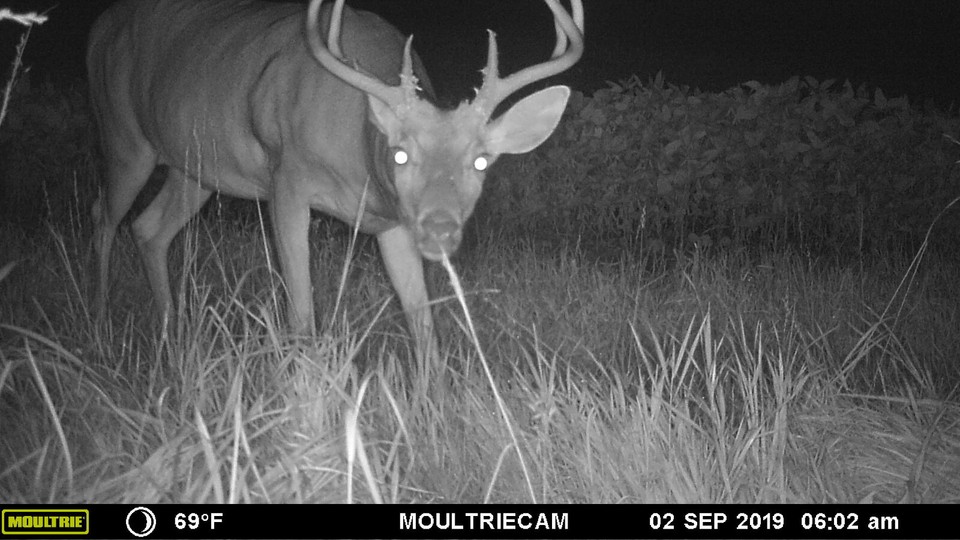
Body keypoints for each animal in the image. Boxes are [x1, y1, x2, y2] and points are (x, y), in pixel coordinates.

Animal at [87, 0, 583, 362]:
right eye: (401, 154)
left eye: (480, 162)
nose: (440, 229)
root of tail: (101, 26)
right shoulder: (286, 180)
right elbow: (302, 316)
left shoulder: (393, 221)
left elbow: (423, 327)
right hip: (124, 137)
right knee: (103, 216)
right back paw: (101, 322)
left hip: (194, 168)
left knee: (149, 228)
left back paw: (172, 333)